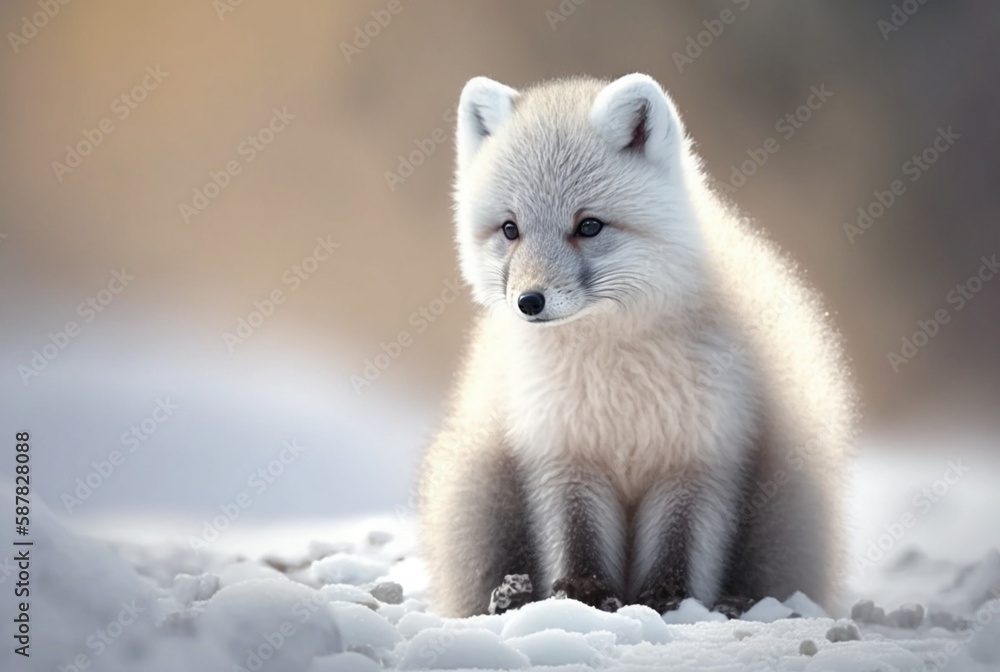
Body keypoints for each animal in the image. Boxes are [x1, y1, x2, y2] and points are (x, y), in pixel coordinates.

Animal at [417, 73, 856, 618]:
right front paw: (581, 597)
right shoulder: (563, 456)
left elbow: (680, 548)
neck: (618, 386)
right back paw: (508, 598)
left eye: (588, 225)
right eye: (510, 229)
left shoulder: (700, 457)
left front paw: (670, 602)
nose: (529, 302)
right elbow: (575, 541)